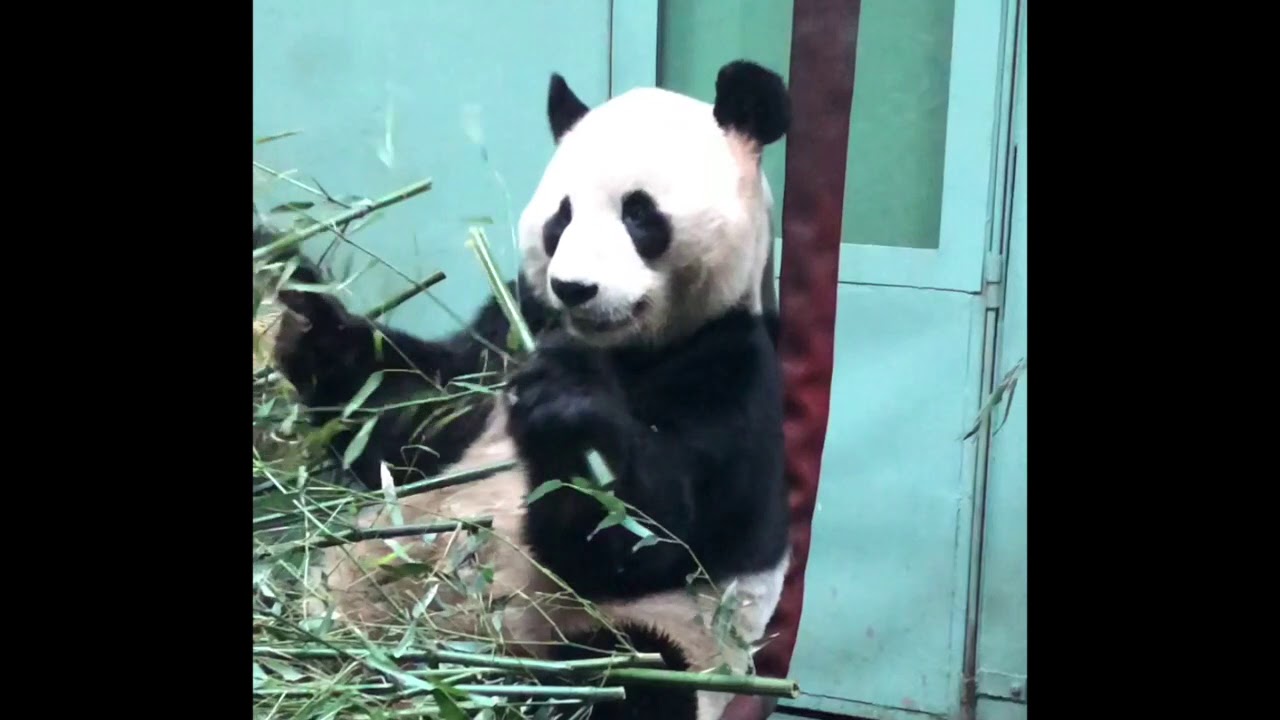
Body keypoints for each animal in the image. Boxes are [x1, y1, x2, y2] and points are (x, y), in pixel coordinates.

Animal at [269, 60, 792, 720]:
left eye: (639, 215)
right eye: (560, 217)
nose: (574, 288)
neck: (620, 350)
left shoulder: (731, 371)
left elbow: (648, 537)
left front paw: (568, 407)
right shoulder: (506, 331)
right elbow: (410, 422)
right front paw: (311, 318)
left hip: (643, 636)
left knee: (629, 675)